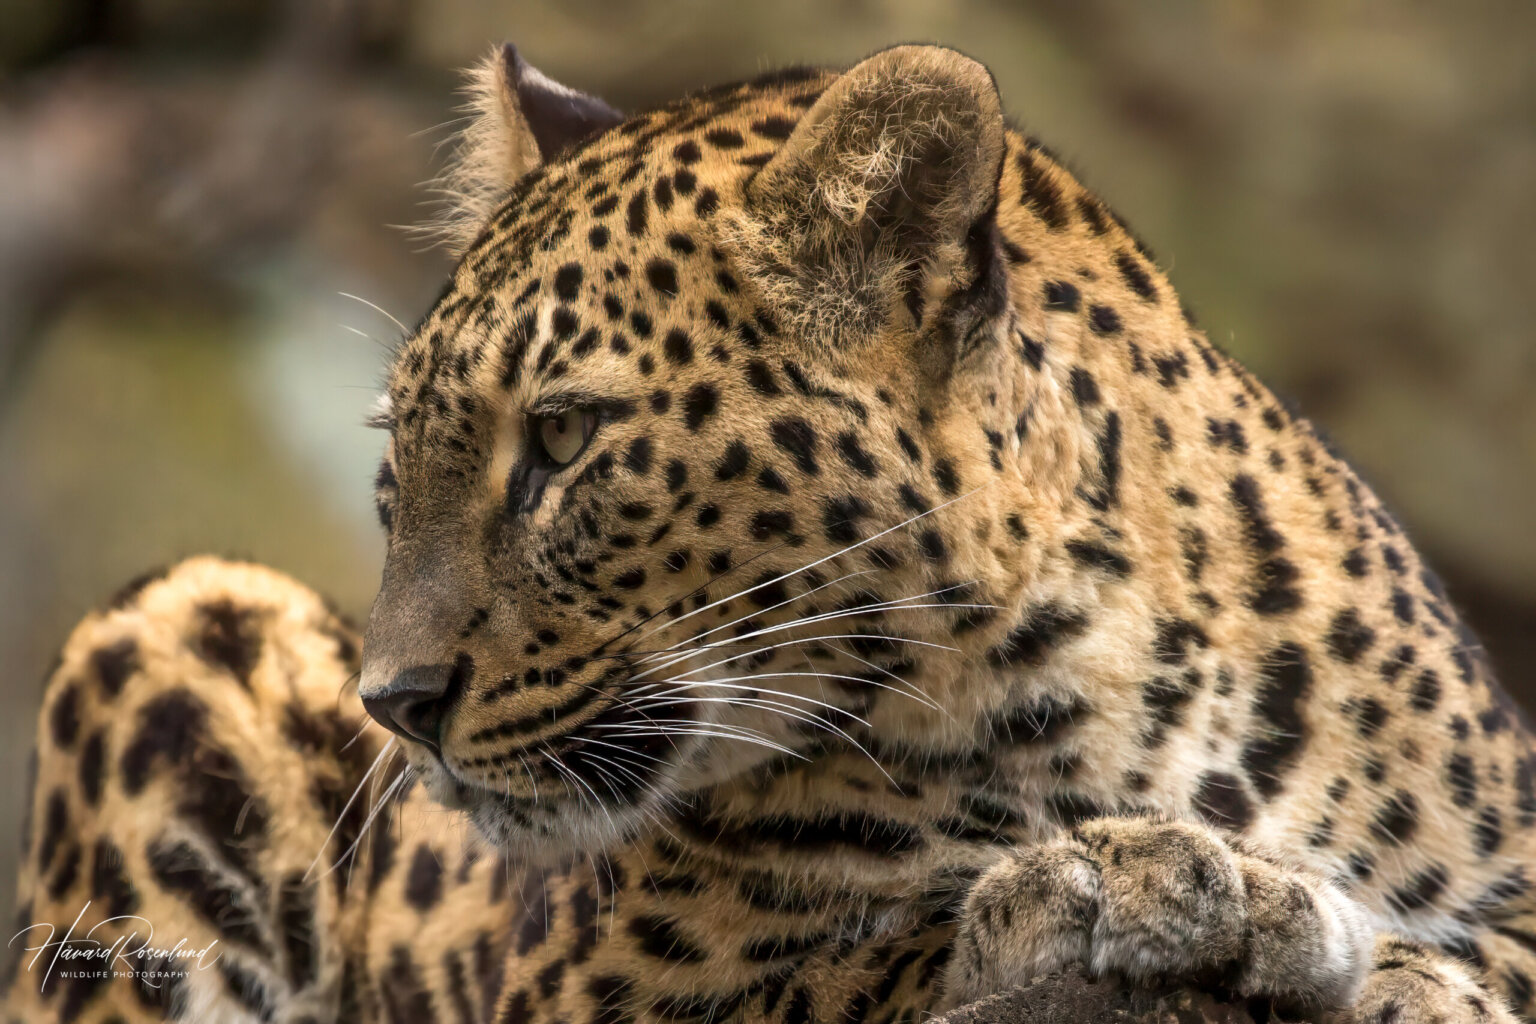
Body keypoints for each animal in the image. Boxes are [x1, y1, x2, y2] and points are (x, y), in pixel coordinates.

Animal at [7, 42, 1536, 1024]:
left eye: (561, 438)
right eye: (397, 467)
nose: (396, 705)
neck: (1127, 682)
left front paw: (1398, 963)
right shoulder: (592, 985)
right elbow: (849, 967)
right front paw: (1103, 891)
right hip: (172, 619)